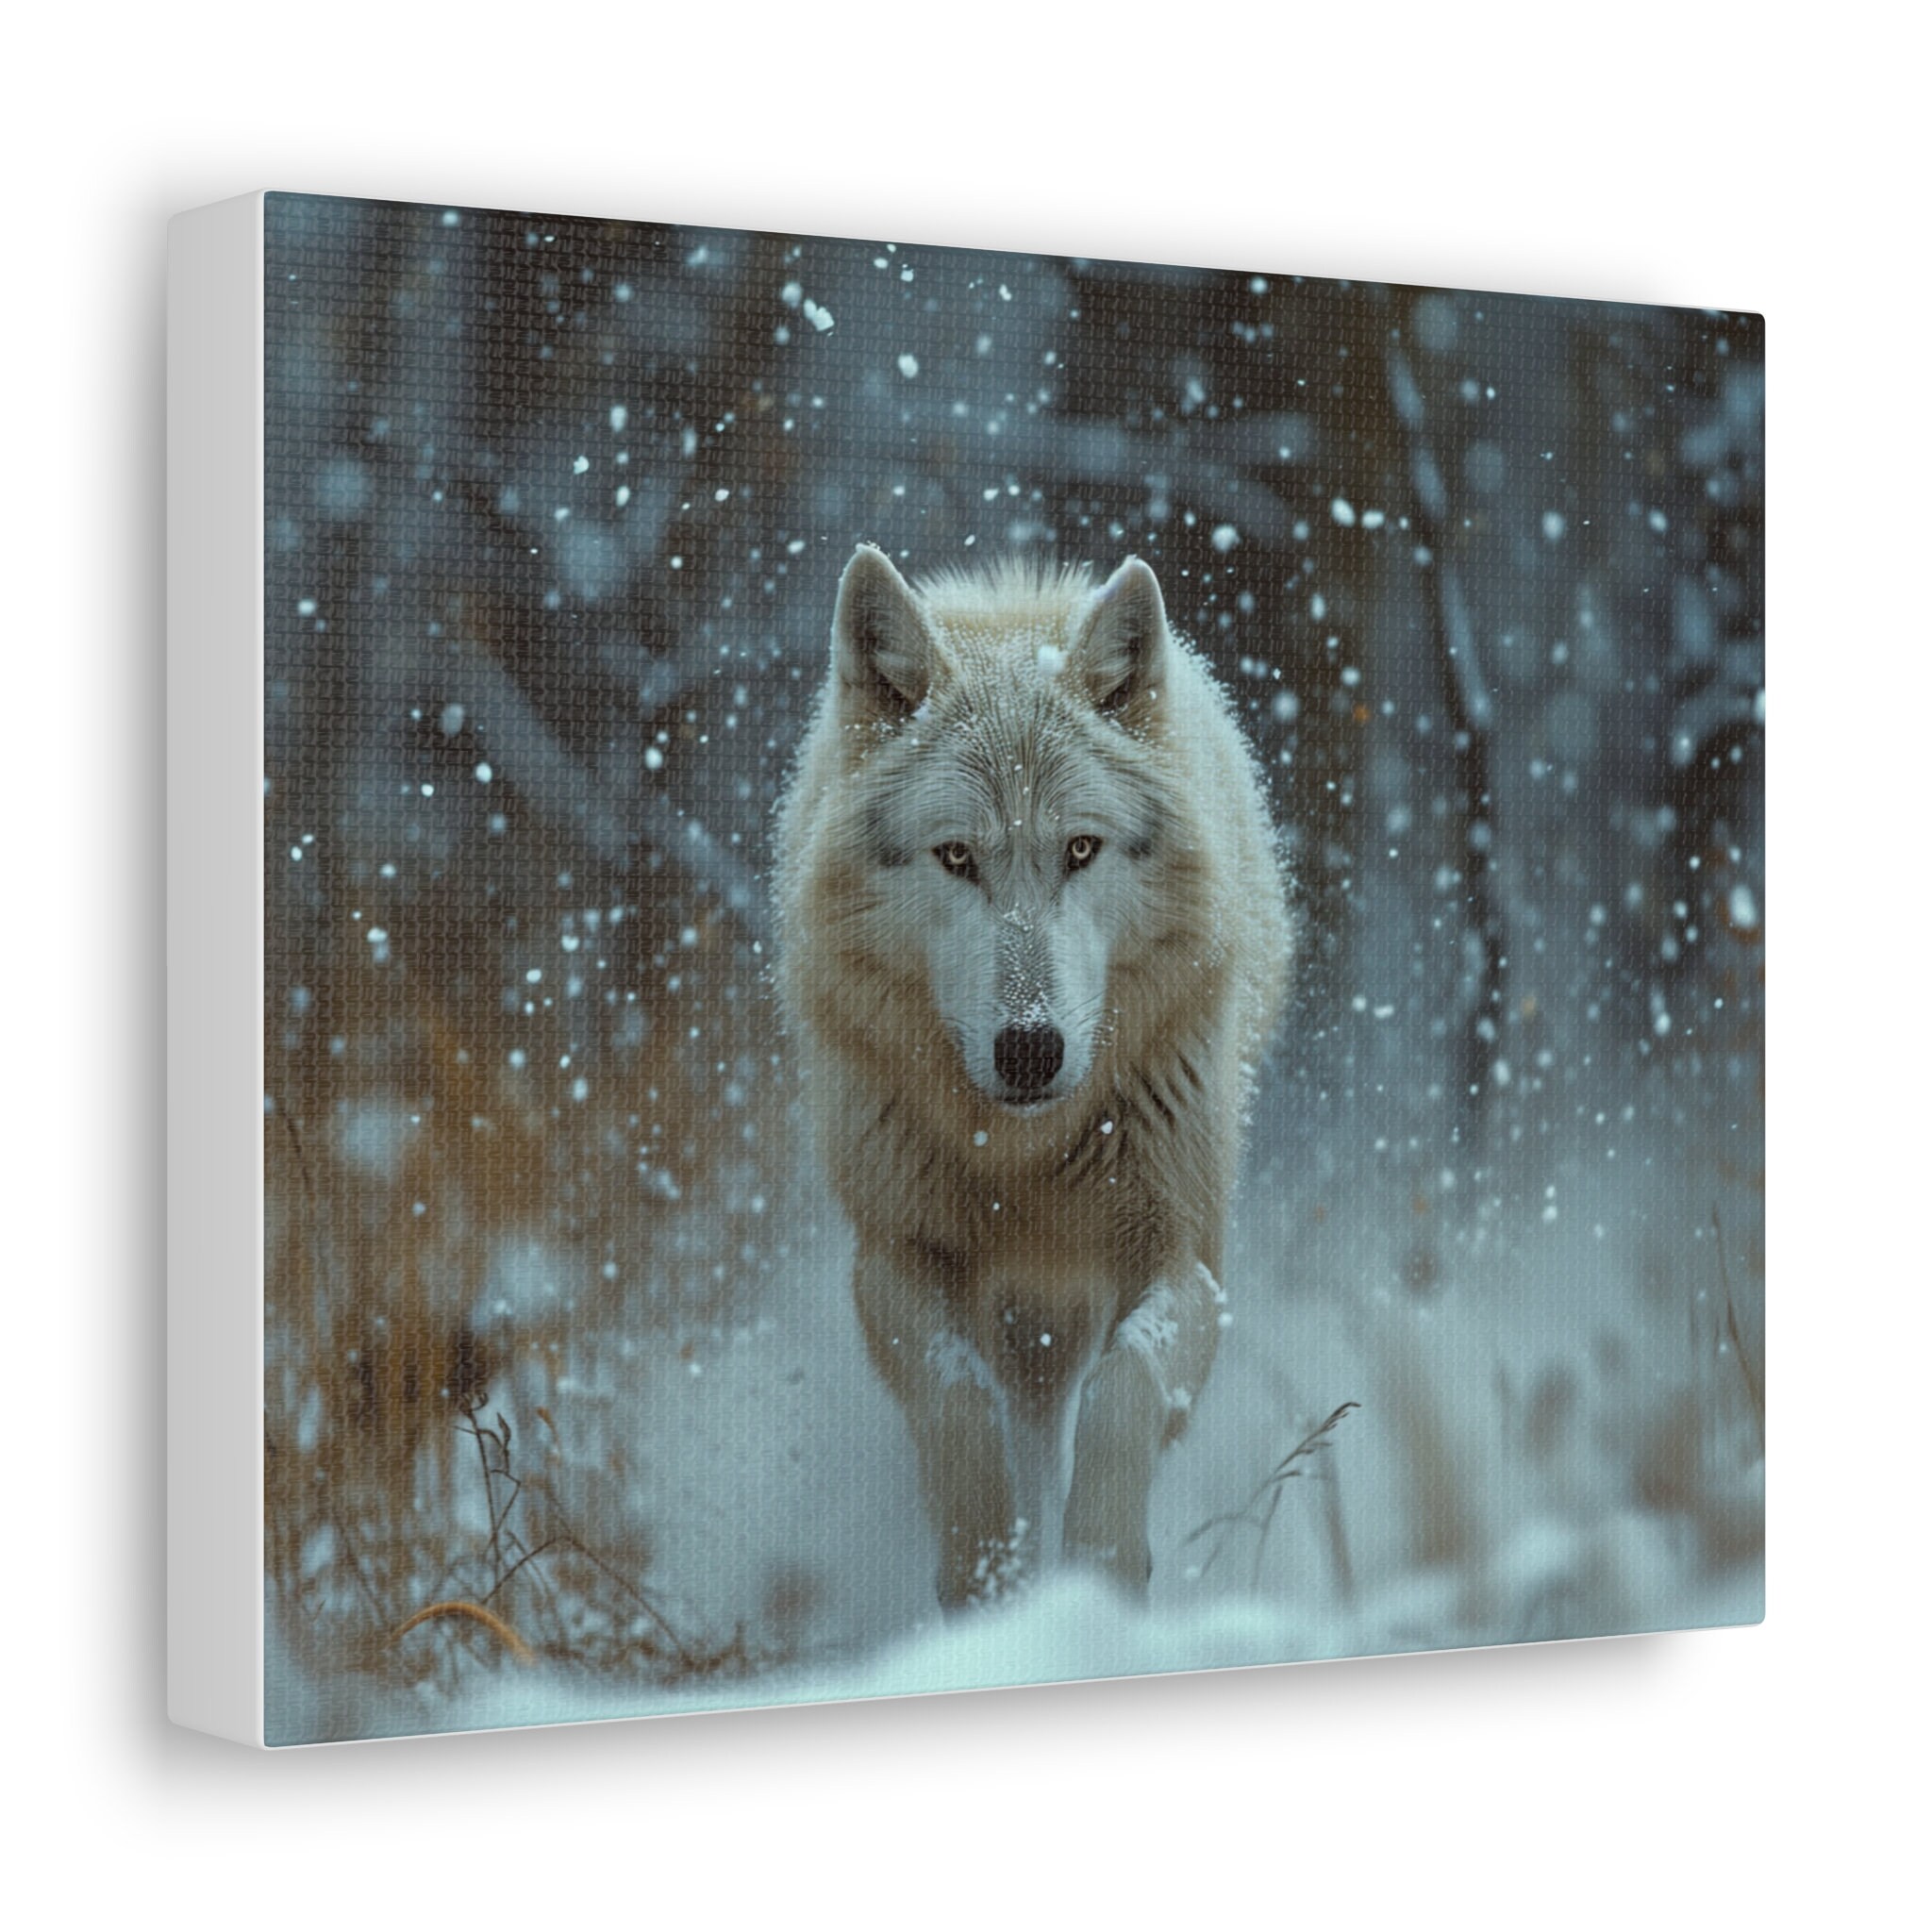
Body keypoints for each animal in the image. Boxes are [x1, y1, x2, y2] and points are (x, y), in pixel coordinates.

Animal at [774, 544, 1293, 1606]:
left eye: (1080, 848)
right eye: (957, 857)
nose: (1029, 1048)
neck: (1025, 1151)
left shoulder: (1186, 1262)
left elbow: (1123, 1388)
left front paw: (1096, 1573)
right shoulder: (893, 1260)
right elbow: (956, 1400)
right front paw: (988, 1586)